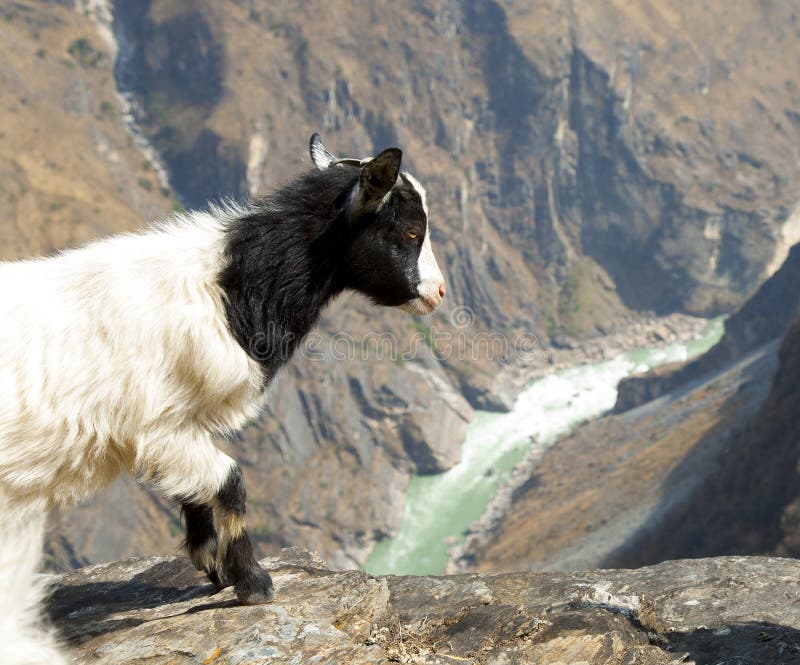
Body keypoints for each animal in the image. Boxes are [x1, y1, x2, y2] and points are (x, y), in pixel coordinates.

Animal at [0, 134, 445, 662]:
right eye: (411, 231)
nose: (439, 292)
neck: (228, 292)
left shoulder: (180, 427)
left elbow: (196, 490)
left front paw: (212, 567)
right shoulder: (159, 428)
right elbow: (230, 481)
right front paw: (251, 582)